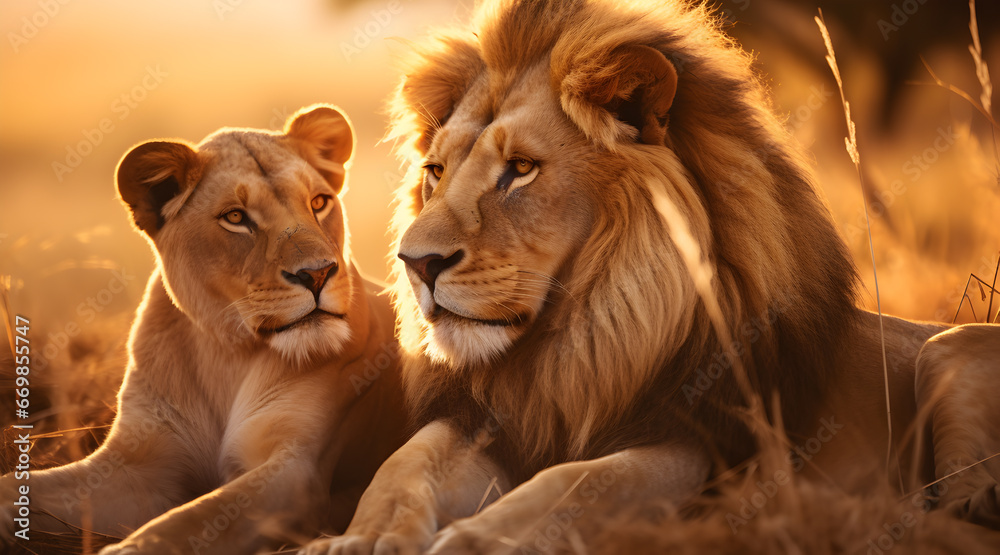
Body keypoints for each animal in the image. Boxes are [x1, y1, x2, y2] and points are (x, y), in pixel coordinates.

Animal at [0, 105, 406, 554]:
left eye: (319, 203)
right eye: (235, 218)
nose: (317, 274)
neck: (227, 352)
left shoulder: (297, 470)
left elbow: (188, 521)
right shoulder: (135, 466)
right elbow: (16, 487)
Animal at [299, 1, 1000, 553]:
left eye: (521, 170)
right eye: (436, 172)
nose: (415, 263)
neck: (578, 340)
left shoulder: (698, 444)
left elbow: (579, 482)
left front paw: (475, 540)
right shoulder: (490, 422)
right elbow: (405, 464)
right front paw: (361, 537)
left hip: (948, 346)